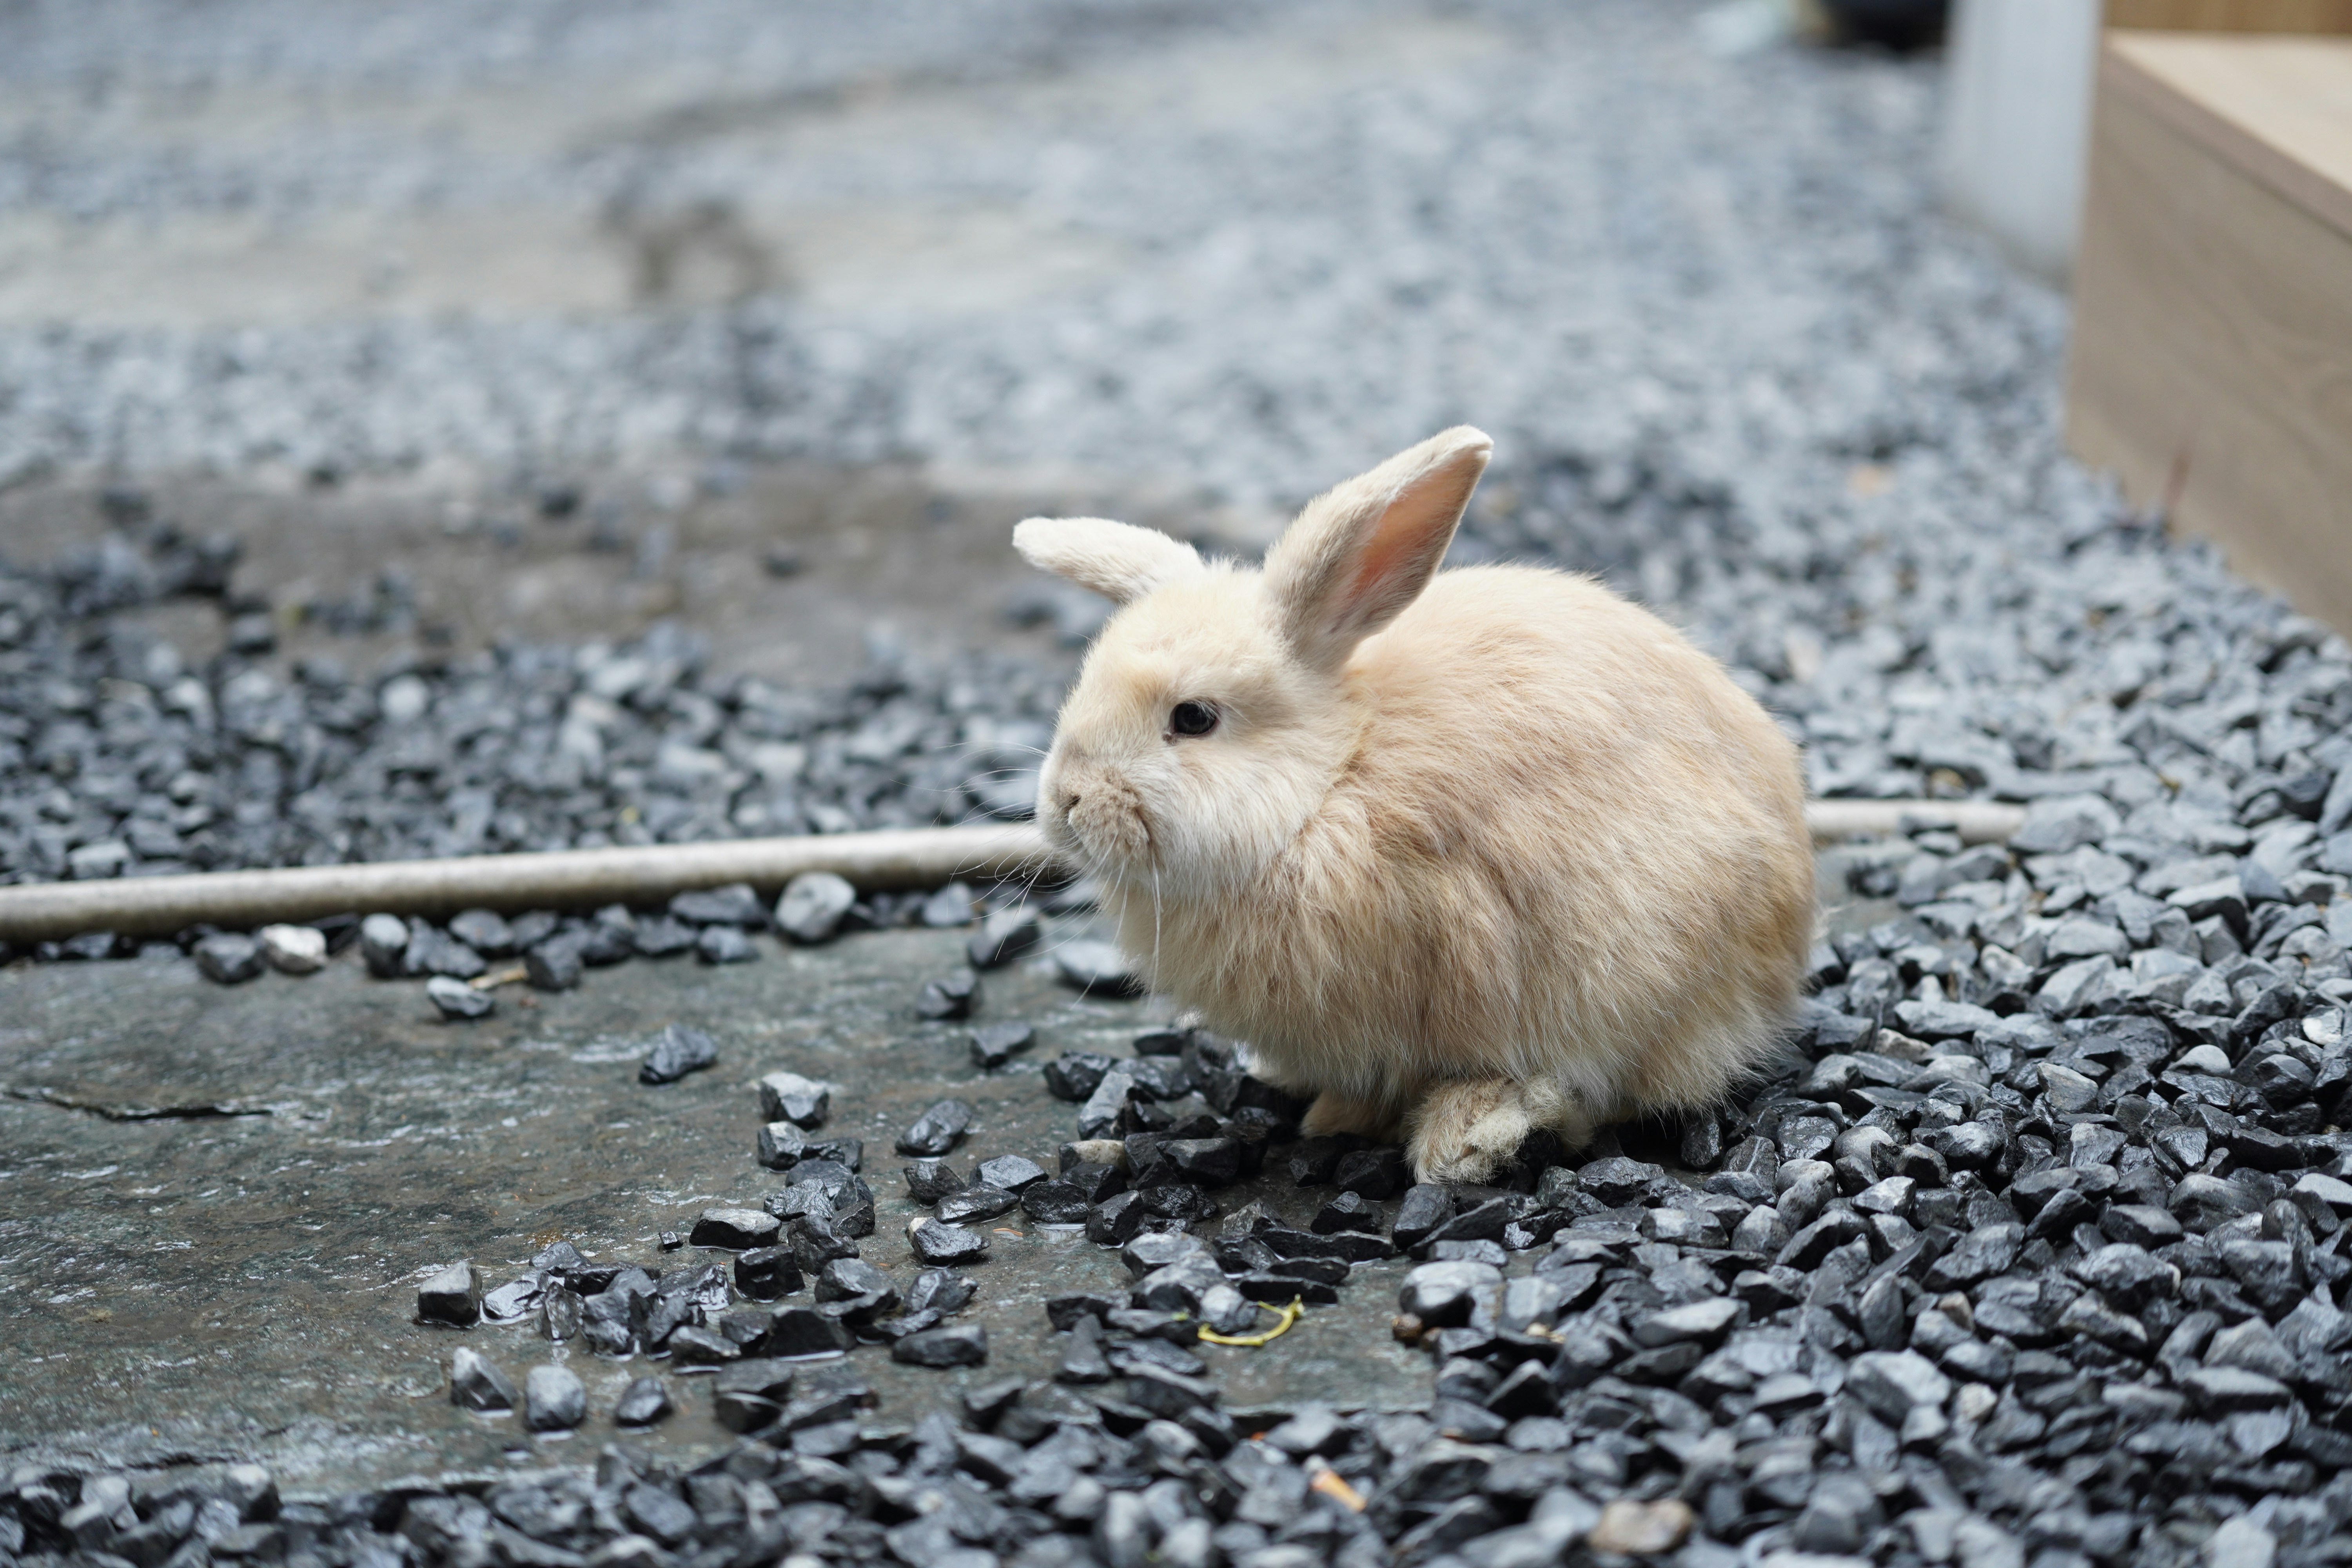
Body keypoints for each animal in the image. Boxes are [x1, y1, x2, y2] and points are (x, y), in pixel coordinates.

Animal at [1013, 426, 1814, 1183]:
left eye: (1194, 718)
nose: (1065, 802)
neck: (1331, 785)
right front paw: (1327, 1110)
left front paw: (1365, 1124)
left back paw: (1469, 1136)